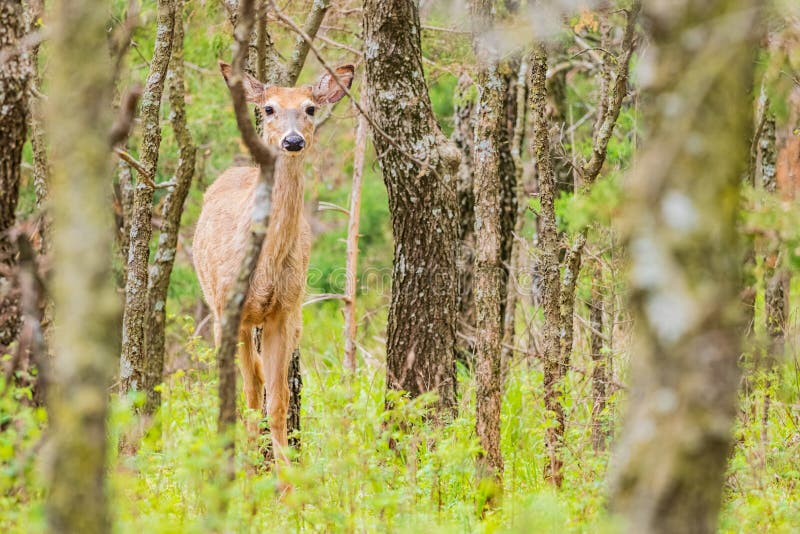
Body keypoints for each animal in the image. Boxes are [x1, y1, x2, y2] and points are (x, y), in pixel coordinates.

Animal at [193, 62, 355, 466]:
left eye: (310, 108)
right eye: (268, 108)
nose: (293, 141)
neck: (264, 268)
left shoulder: (283, 311)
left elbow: (278, 403)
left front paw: (286, 480)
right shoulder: (228, 309)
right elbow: (251, 397)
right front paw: (248, 476)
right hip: (217, 309)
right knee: (246, 384)